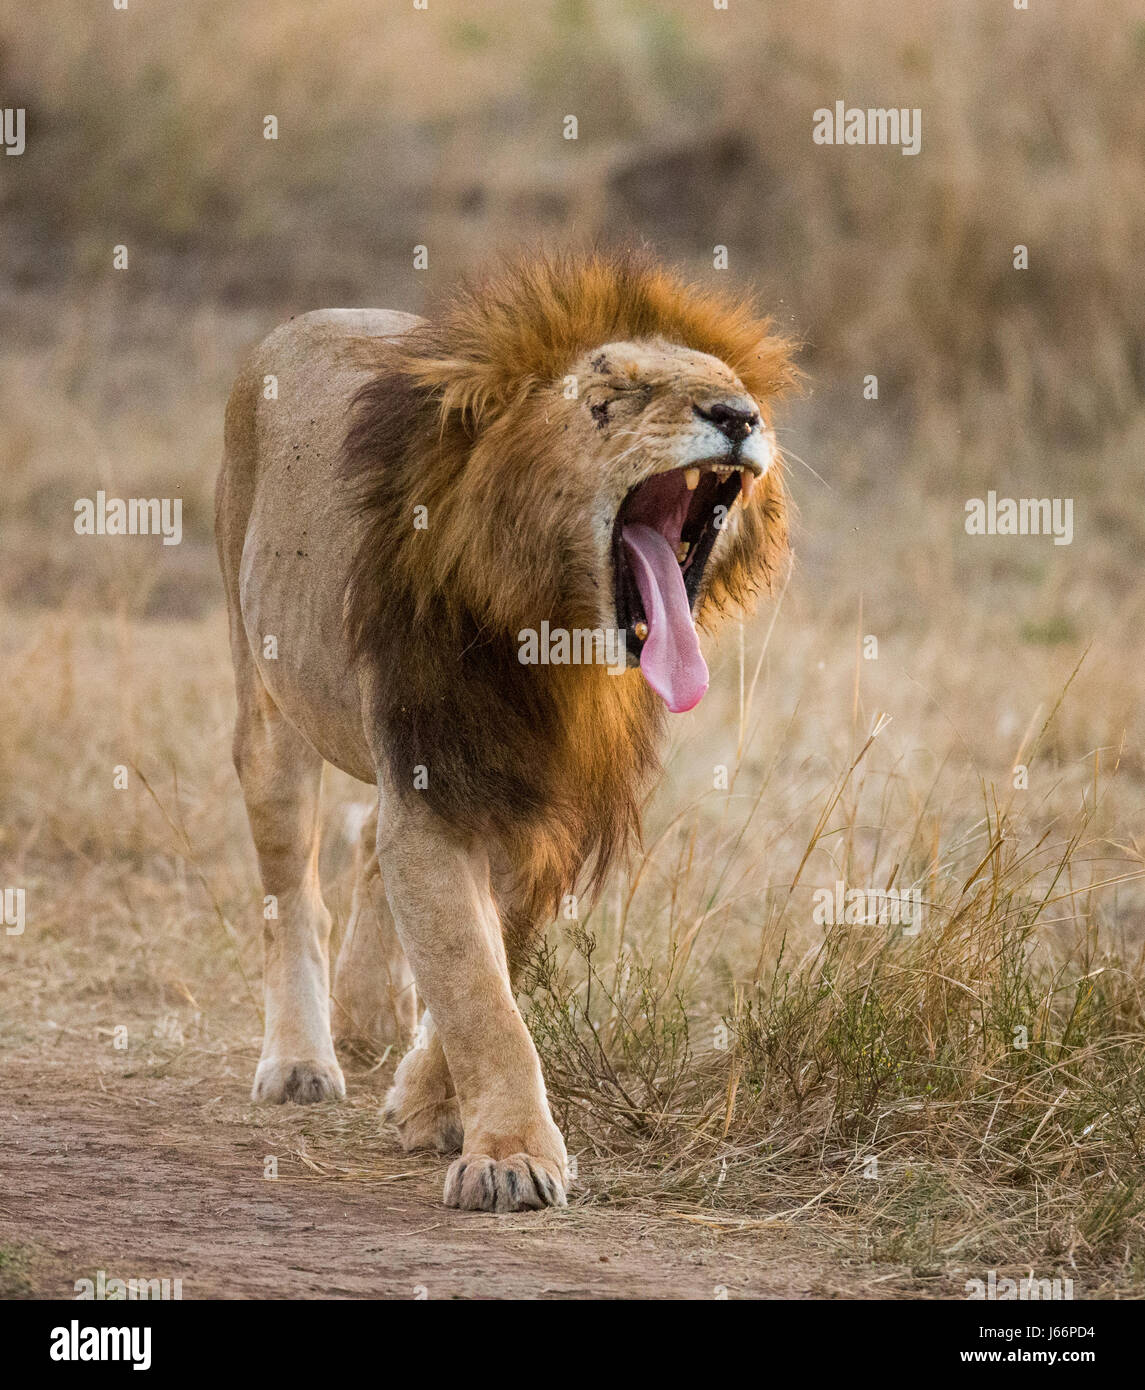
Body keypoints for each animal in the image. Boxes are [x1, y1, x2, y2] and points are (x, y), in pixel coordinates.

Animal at [215, 249, 795, 1212]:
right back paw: (301, 1059)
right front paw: (513, 1158)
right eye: (613, 397)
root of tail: (303, 321)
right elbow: (480, 992)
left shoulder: (541, 808)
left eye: (739, 391)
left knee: (366, 844)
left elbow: (492, 967)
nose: (739, 418)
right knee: (290, 891)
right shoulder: (440, 782)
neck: (557, 646)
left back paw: (371, 1014)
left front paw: (430, 1105)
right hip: (267, 711)